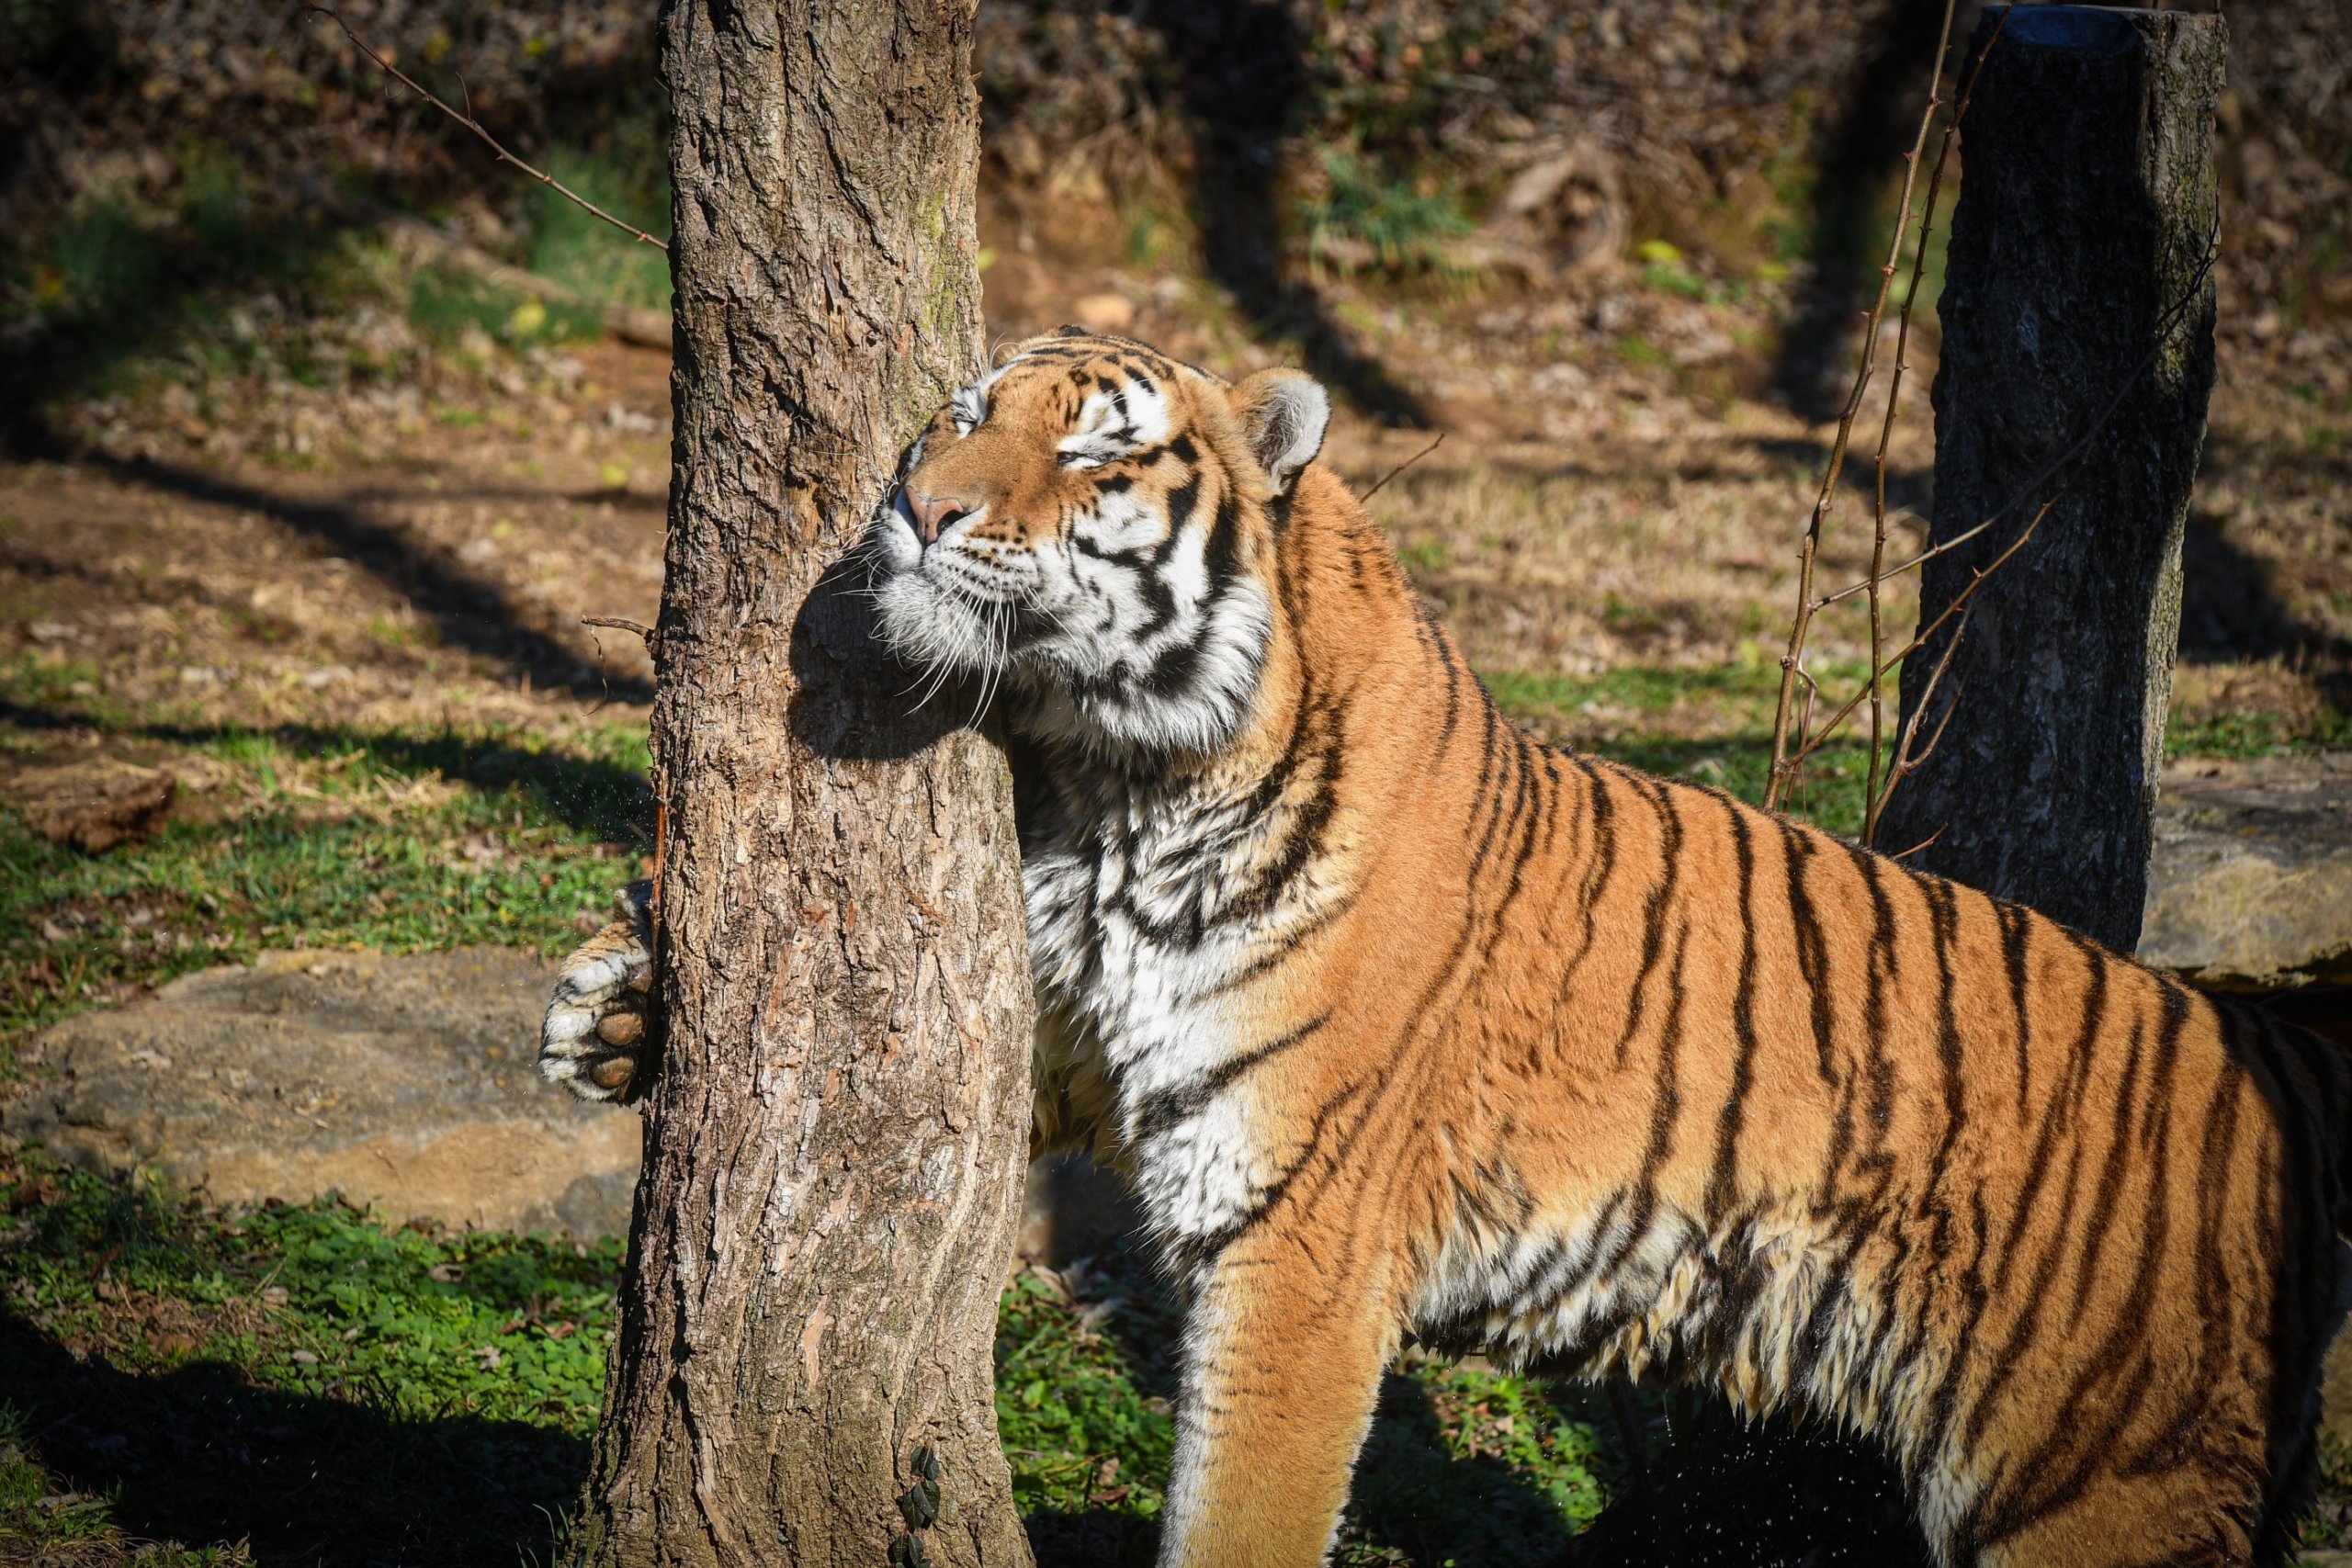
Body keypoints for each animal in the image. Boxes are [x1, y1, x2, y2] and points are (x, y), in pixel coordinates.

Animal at [541, 328, 2352, 1568]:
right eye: (963, 413)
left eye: (1099, 461)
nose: (915, 509)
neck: (1112, 780)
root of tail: (2257, 1048)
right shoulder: (1101, 1038)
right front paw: (619, 1017)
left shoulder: (1303, 1241)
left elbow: (1243, 1514)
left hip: (2095, 1482)